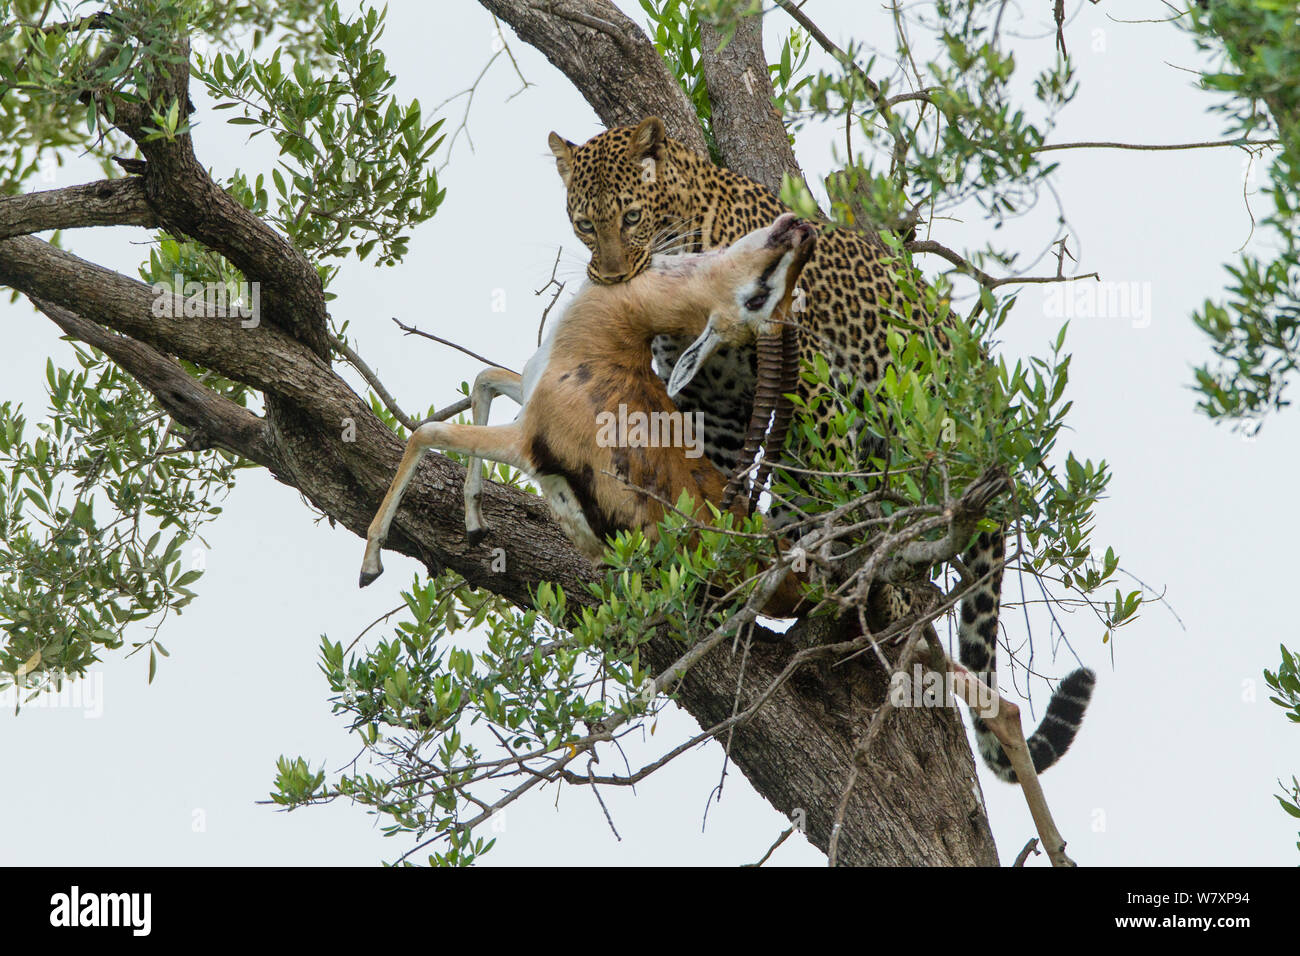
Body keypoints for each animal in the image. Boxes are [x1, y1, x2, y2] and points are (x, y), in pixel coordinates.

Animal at [547, 116, 1095, 783]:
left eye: (630, 216)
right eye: (584, 223)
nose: (611, 277)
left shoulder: (808, 376)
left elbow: (826, 472)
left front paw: (823, 563)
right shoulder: (711, 403)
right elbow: (709, 480)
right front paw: (714, 565)